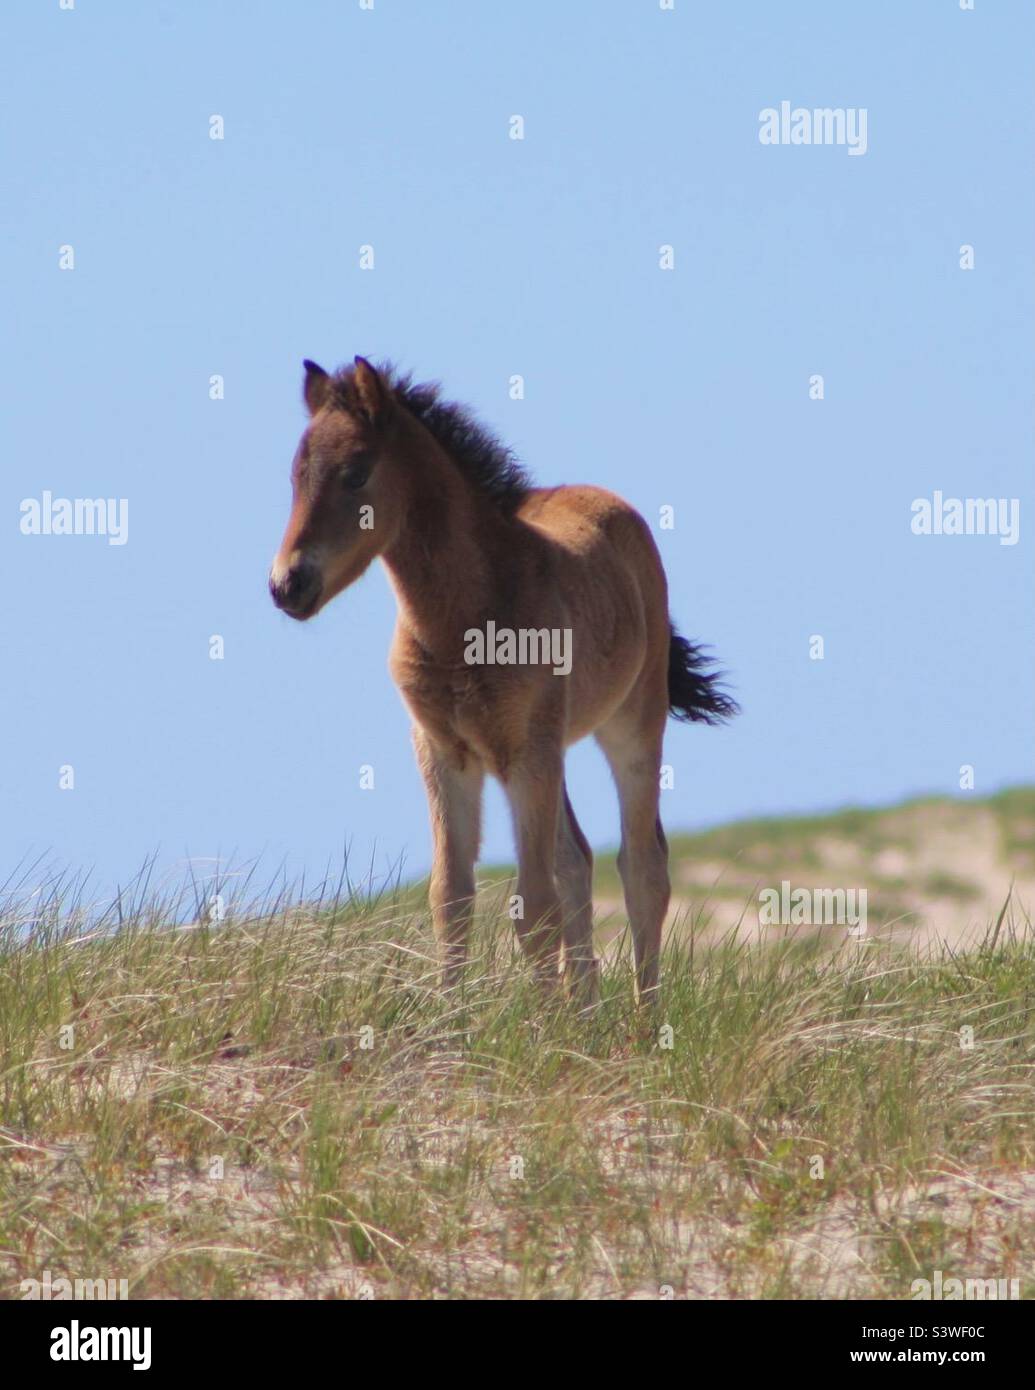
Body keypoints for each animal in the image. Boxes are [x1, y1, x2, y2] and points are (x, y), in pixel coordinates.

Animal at [270, 357, 737, 1006]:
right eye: (295, 476)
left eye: (357, 474)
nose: (287, 585)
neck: (463, 619)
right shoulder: (444, 751)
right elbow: (452, 896)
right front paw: (452, 1019)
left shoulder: (526, 751)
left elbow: (534, 905)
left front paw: (541, 1025)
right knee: (578, 860)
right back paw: (586, 1010)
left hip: (629, 726)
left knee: (643, 866)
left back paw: (643, 1016)